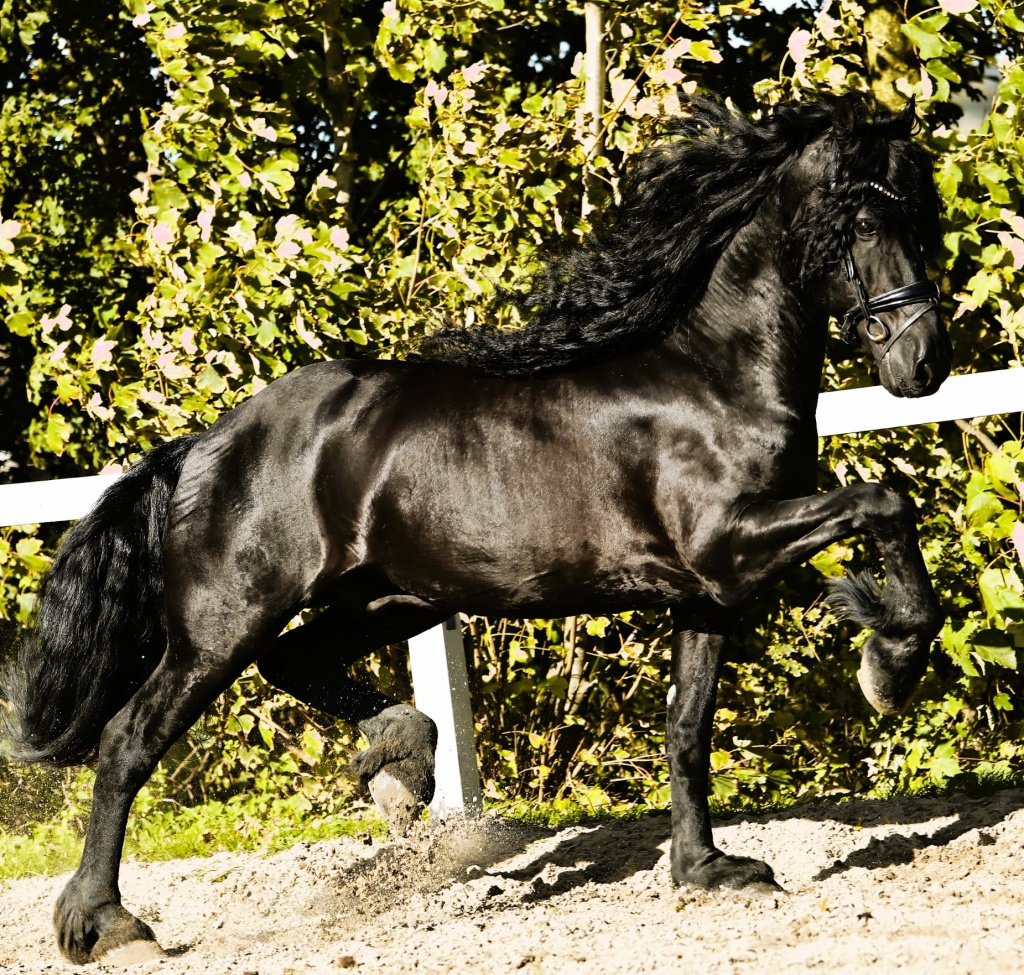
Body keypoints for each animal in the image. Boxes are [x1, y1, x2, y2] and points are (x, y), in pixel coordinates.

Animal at [1, 96, 952, 964]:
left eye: (926, 214)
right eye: (866, 219)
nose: (923, 362)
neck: (714, 381)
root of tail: (206, 443)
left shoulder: (711, 588)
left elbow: (687, 727)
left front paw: (707, 870)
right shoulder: (733, 542)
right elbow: (884, 501)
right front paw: (888, 666)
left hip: (394, 596)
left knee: (297, 662)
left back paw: (403, 766)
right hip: (224, 621)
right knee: (130, 740)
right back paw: (106, 924)